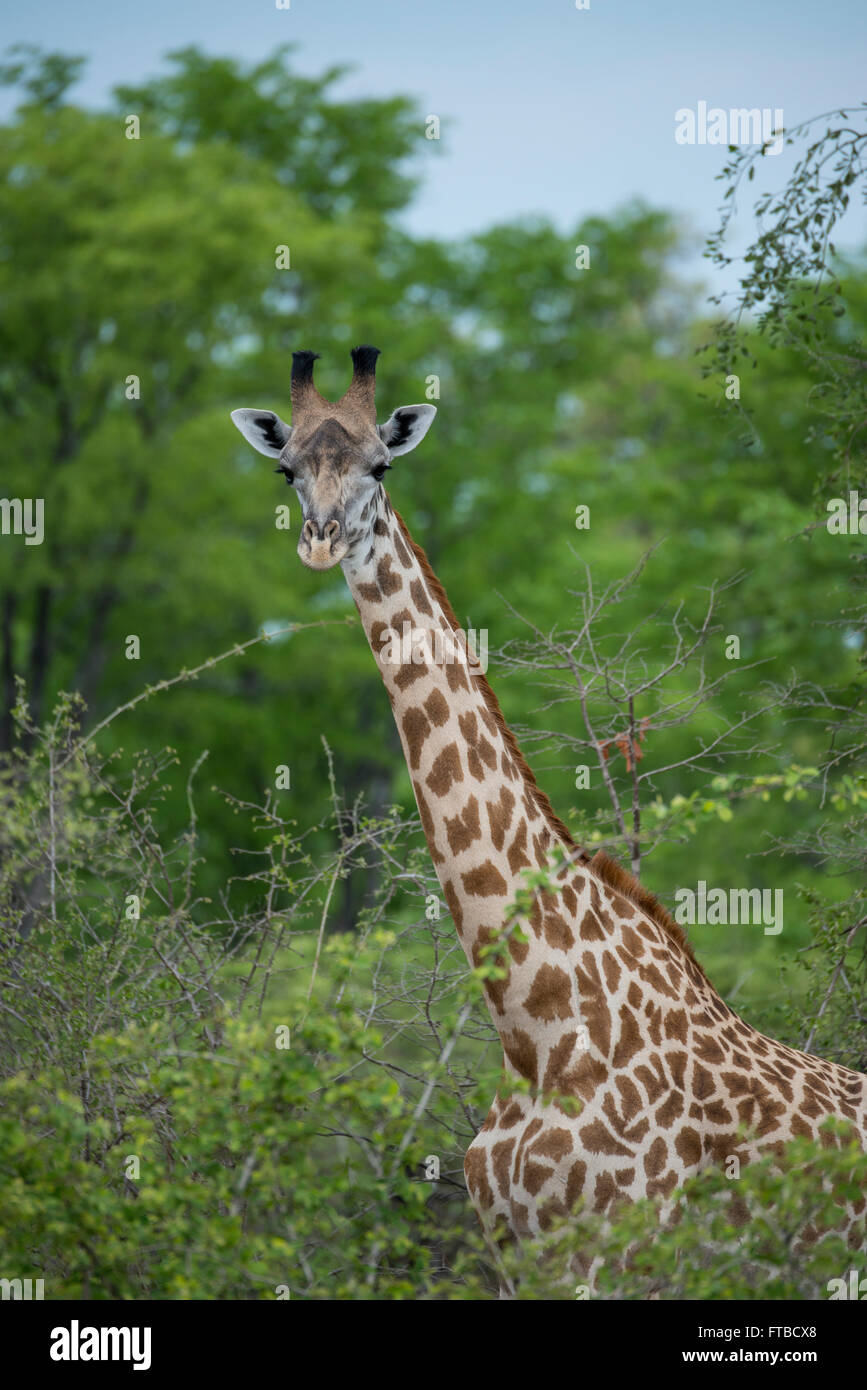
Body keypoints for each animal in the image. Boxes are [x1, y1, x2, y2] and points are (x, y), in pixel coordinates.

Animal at [231, 345, 867, 1270]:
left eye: (380, 465)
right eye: (286, 471)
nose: (320, 541)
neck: (537, 1029)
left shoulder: (619, 1250)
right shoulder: (515, 1254)